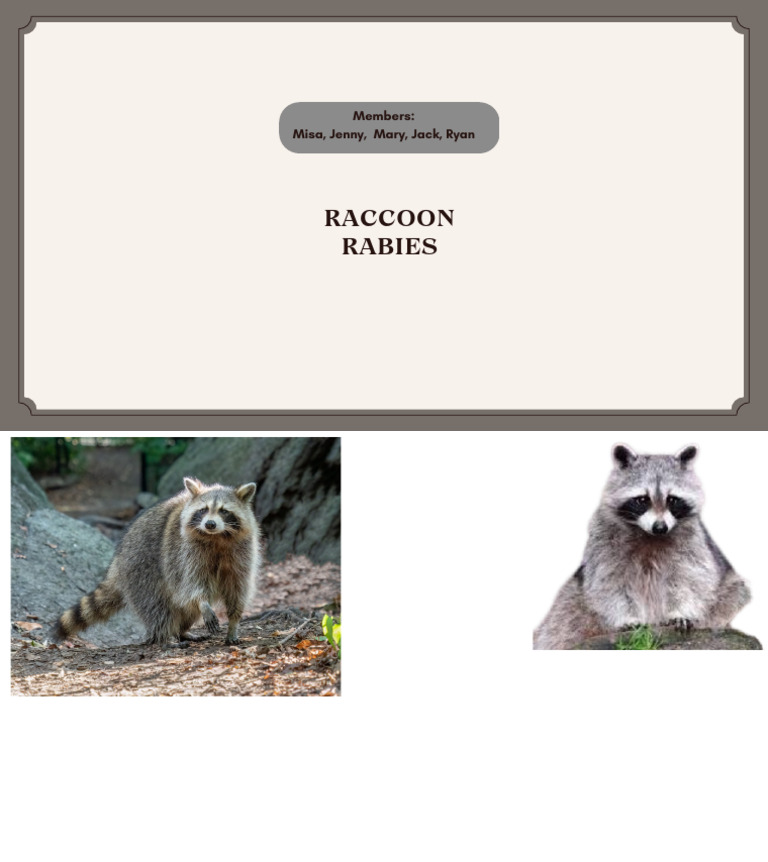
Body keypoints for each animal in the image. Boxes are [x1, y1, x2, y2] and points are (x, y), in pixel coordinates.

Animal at [51, 478, 261, 647]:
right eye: (203, 510)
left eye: (224, 511)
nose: (210, 524)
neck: (217, 537)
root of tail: (117, 561)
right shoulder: (185, 553)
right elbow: (192, 583)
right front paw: (203, 603)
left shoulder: (242, 552)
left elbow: (237, 588)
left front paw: (233, 622)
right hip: (141, 570)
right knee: (159, 607)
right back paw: (165, 637)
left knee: (185, 609)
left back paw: (182, 631)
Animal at [533, 445, 750, 650]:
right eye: (642, 500)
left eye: (672, 499)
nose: (660, 527)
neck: (650, 535)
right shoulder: (603, 541)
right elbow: (609, 583)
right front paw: (627, 618)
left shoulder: (692, 541)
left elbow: (690, 578)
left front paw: (680, 611)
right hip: (573, 604)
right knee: (562, 621)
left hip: (729, 586)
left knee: (735, 592)